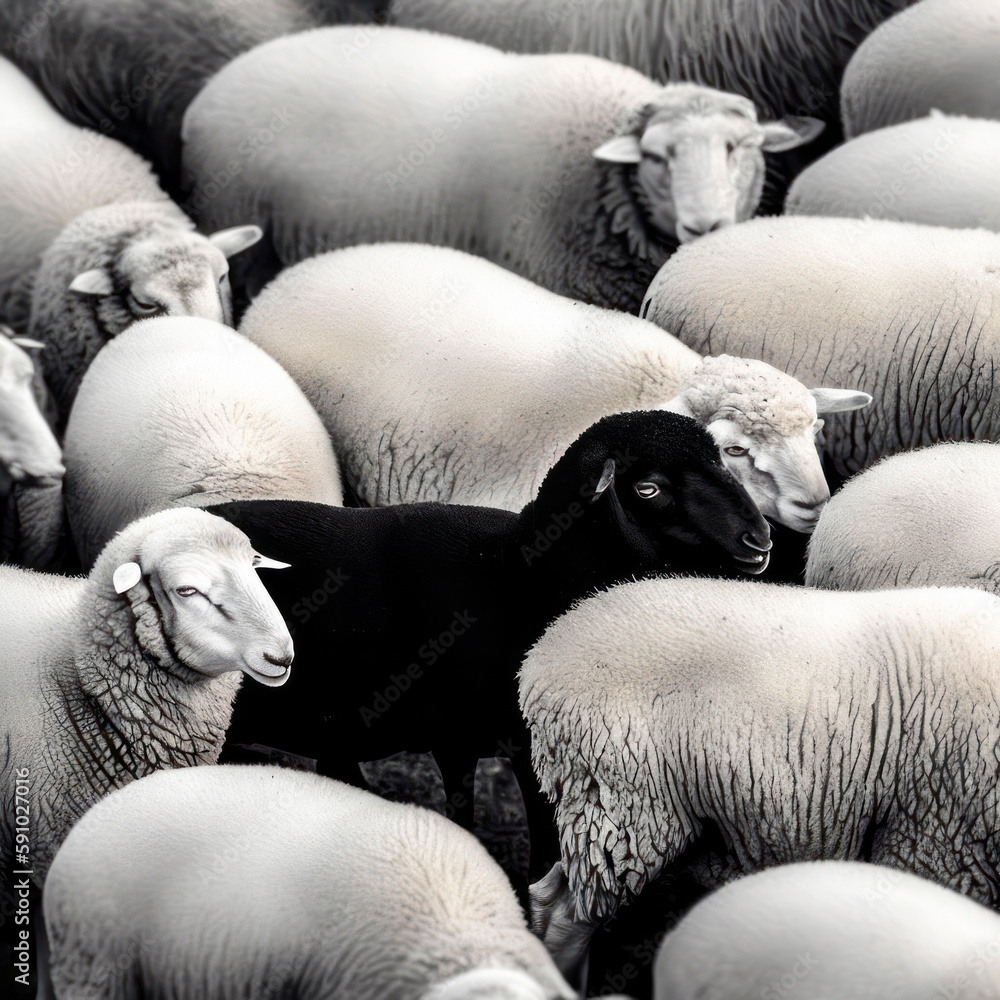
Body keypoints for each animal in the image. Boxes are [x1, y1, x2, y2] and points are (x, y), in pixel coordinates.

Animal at [207, 410, 772, 888]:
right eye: (649, 489)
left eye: (723, 460)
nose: (759, 539)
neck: (515, 578)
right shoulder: (476, 739)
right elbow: (509, 836)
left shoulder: (498, 743)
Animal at [518, 576, 1000, 977]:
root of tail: (539, 659)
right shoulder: (934, 845)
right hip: (625, 807)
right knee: (569, 916)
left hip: (604, 810)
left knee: (548, 895)